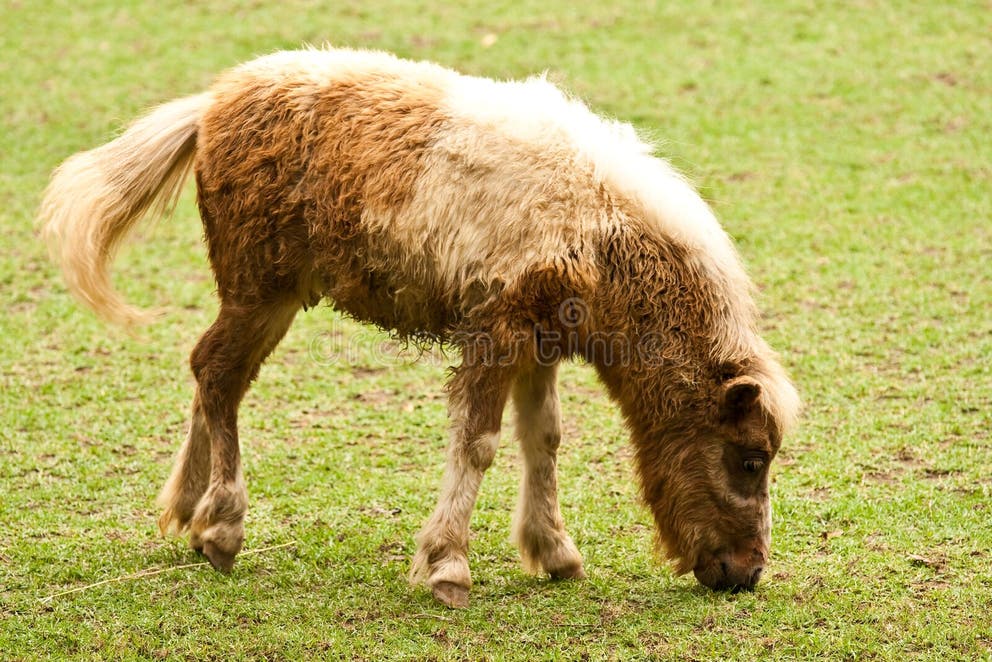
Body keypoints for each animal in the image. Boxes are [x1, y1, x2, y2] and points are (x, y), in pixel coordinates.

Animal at [38, 47, 800, 607]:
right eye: (750, 460)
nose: (747, 573)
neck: (596, 228)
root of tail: (210, 107)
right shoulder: (497, 332)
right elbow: (480, 443)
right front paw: (447, 566)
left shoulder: (542, 342)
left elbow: (543, 439)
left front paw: (553, 550)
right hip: (262, 290)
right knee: (220, 376)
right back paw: (222, 526)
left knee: (208, 370)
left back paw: (189, 512)